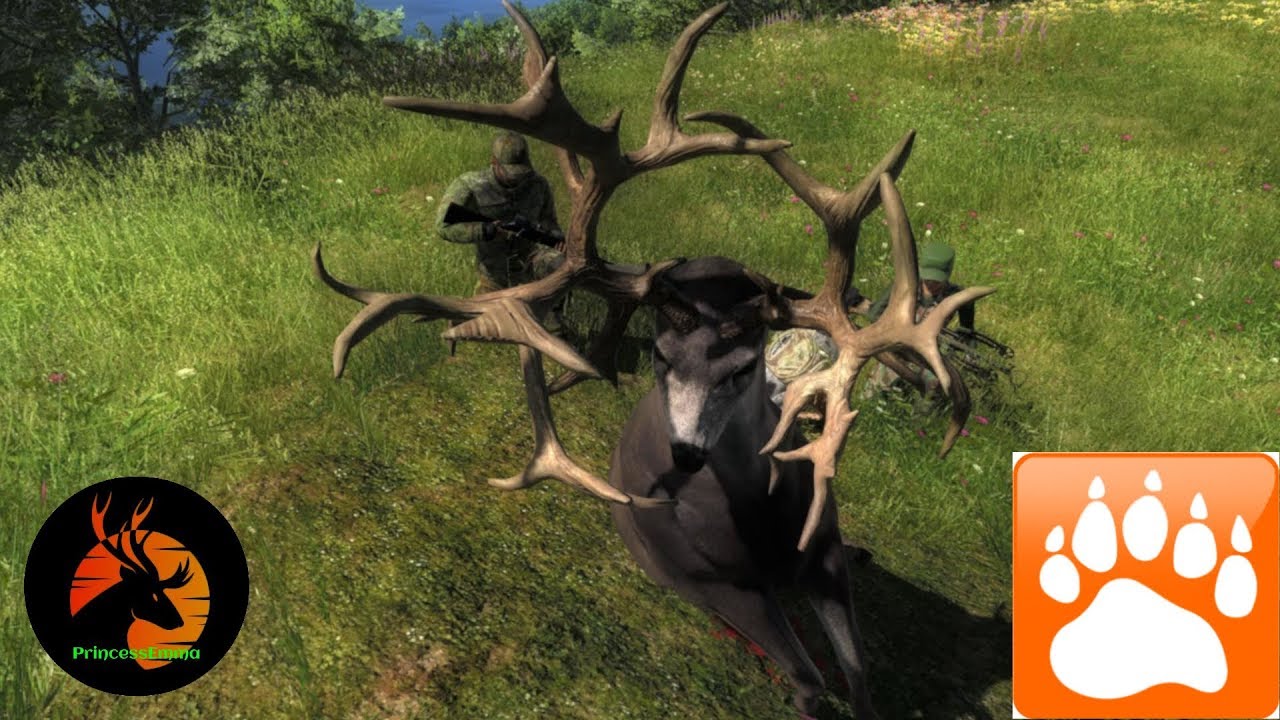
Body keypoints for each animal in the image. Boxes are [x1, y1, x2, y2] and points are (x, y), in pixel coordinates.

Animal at [311, 2, 993, 717]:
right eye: (662, 357)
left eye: (744, 367)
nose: (684, 454)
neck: (761, 529)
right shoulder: (717, 584)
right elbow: (810, 683)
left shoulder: (822, 549)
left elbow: (857, 674)